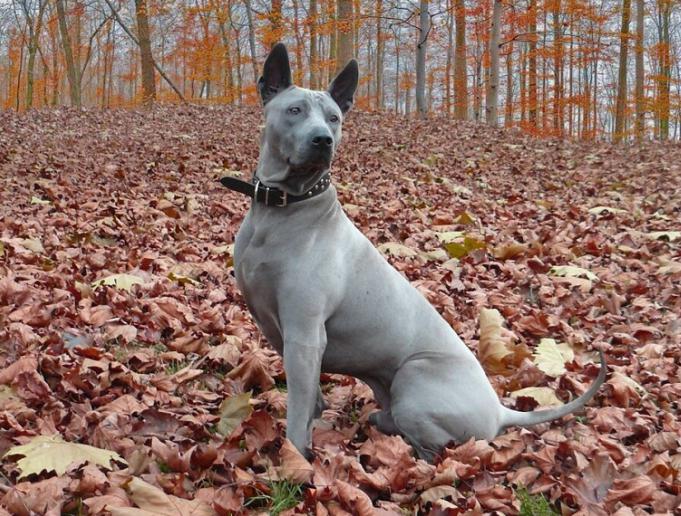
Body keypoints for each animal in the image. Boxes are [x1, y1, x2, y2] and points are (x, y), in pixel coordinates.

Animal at [226, 44, 608, 462]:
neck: (281, 209)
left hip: (415, 376)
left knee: (437, 447)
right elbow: (309, 396)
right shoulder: (277, 328)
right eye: (294, 110)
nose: (323, 139)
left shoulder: (305, 334)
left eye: (334, 118)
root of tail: (500, 410)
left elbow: (299, 409)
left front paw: (294, 456)